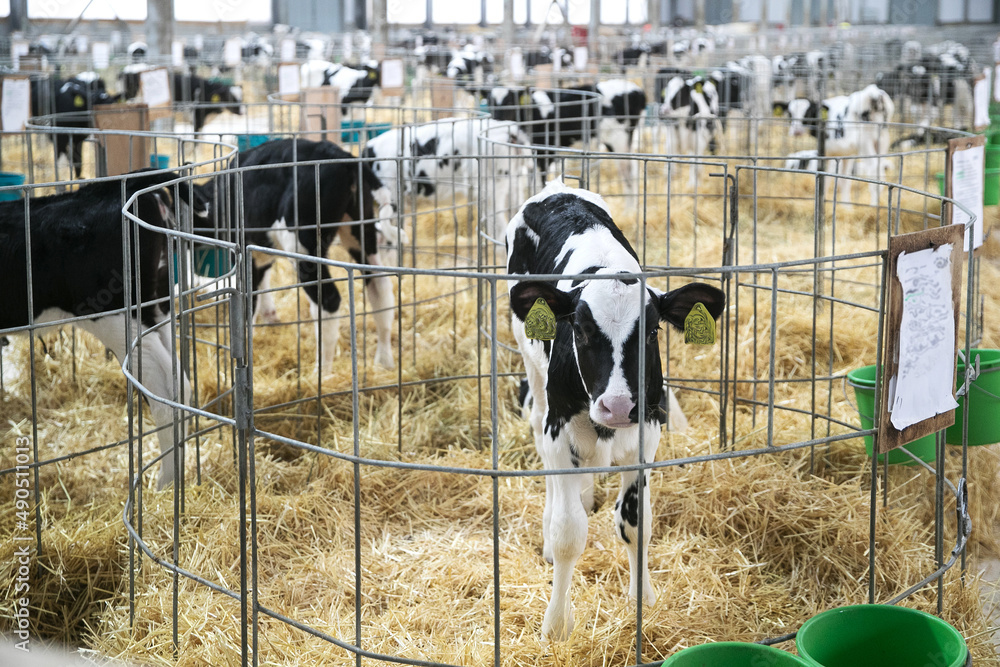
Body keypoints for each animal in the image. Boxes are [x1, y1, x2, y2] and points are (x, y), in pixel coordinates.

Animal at [0, 170, 200, 489]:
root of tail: (129, 183)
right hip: (156, 305)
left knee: (163, 389)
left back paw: (164, 484)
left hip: (114, 316)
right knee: (179, 379)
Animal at [195, 139, 398, 371]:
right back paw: (384, 361)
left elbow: (248, 303)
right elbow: (261, 284)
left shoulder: (242, 252)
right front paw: (270, 315)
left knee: (328, 300)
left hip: (302, 245)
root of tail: (343, 157)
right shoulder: (259, 251)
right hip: (361, 229)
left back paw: (322, 372)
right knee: (380, 287)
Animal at [505, 179, 725, 639]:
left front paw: (643, 601)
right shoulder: (559, 427)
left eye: (654, 331)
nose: (619, 405)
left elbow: (636, 524)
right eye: (580, 329)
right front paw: (556, 626)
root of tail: (557, 187)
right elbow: (569, 532)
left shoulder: (647, 433)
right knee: (540, 439)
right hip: (531, 366)